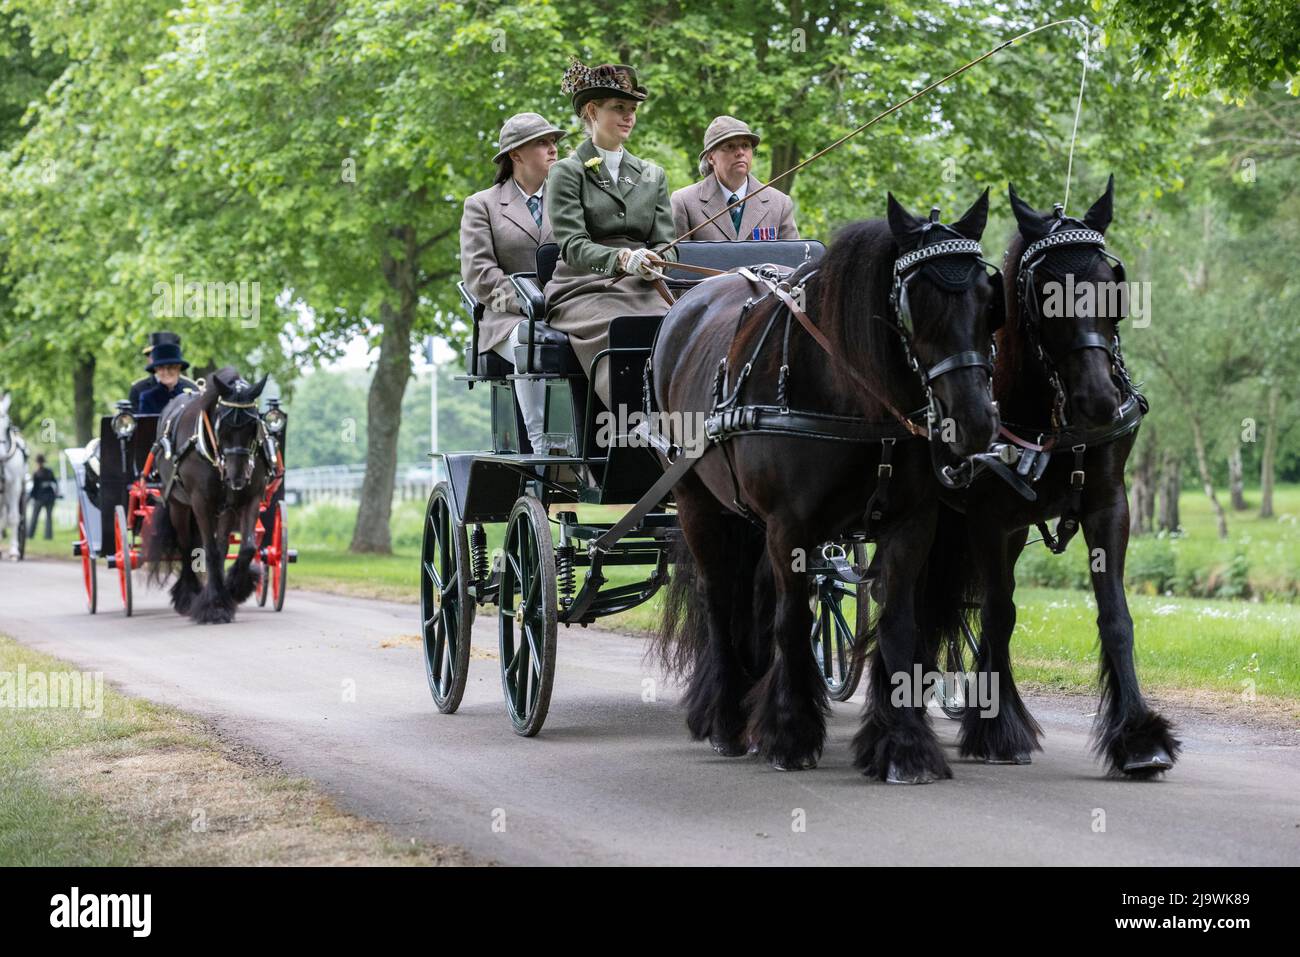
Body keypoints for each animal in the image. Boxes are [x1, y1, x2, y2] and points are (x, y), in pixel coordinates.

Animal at [144, 367, 271, 624]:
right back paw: (188, 595)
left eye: (254, 424)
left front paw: (235, 588)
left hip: (223, 509)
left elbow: (246, 547)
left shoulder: (246, 499)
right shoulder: (201, 502)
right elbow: (209, 551)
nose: (237, 478)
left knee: (221, 545)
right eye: (222, 426)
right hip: (179, 505)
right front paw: (214, 606)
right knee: (185, 546)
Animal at [651, 190, 1004, 781]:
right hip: (697, 502)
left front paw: (903, 746)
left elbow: (898, 625)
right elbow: (794, 621)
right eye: (913, 301)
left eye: (987, 295)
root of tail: (687, 302)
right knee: (719, 597)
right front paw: (791, 735)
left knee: (754, 595)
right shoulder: (790, 528)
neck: (855, 393)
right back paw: (726, 718)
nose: (975, 420)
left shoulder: (911, 525)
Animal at [921, 176, 1180, 777]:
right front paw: (997, 730)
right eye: (1044, 290)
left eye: (1112, 282)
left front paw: (1139, 738)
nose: (1100, 402)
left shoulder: (1108, 506)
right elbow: (999, 614)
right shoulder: (988, 519)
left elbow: (1115, 616)